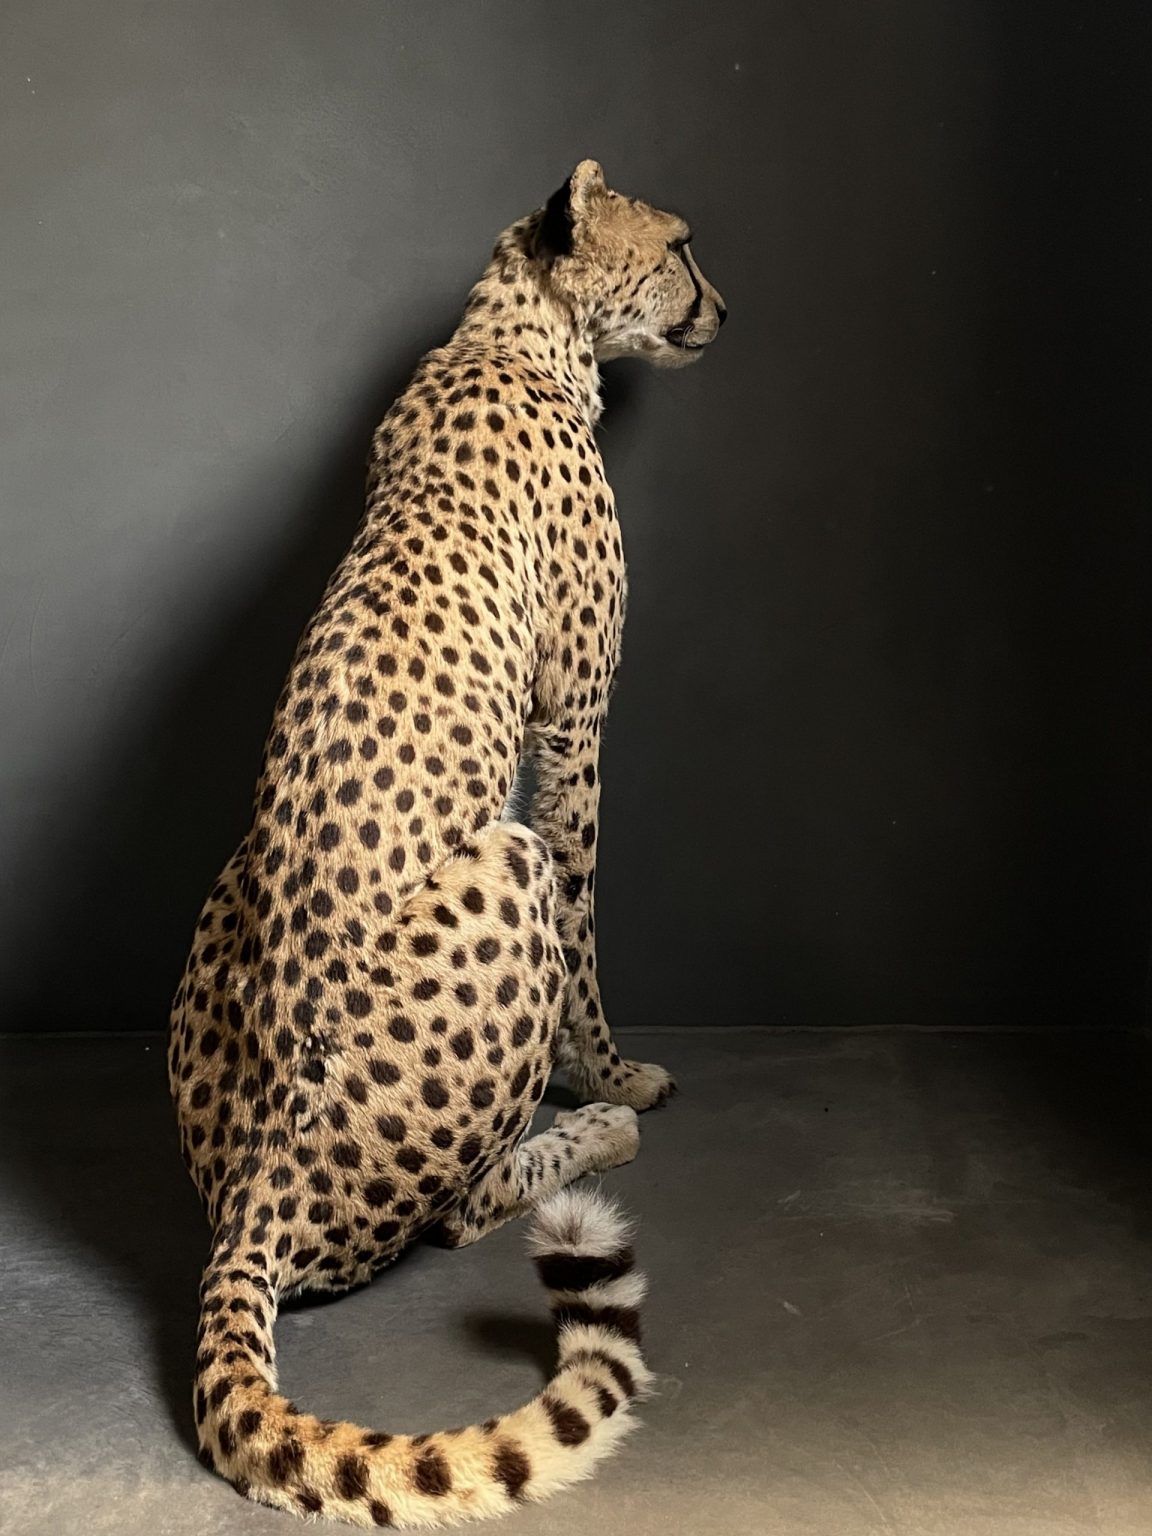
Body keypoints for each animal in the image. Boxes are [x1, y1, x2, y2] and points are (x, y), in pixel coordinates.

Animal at [168, 158, 726, 1528]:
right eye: (680, 246)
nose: (723, 307)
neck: (514, 331)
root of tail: (255, 1182)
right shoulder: (570, 721)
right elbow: (585, 907)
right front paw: (613, 1070)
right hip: (498, 867)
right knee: (458, 1216)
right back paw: (593, 1134)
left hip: (228, 888)